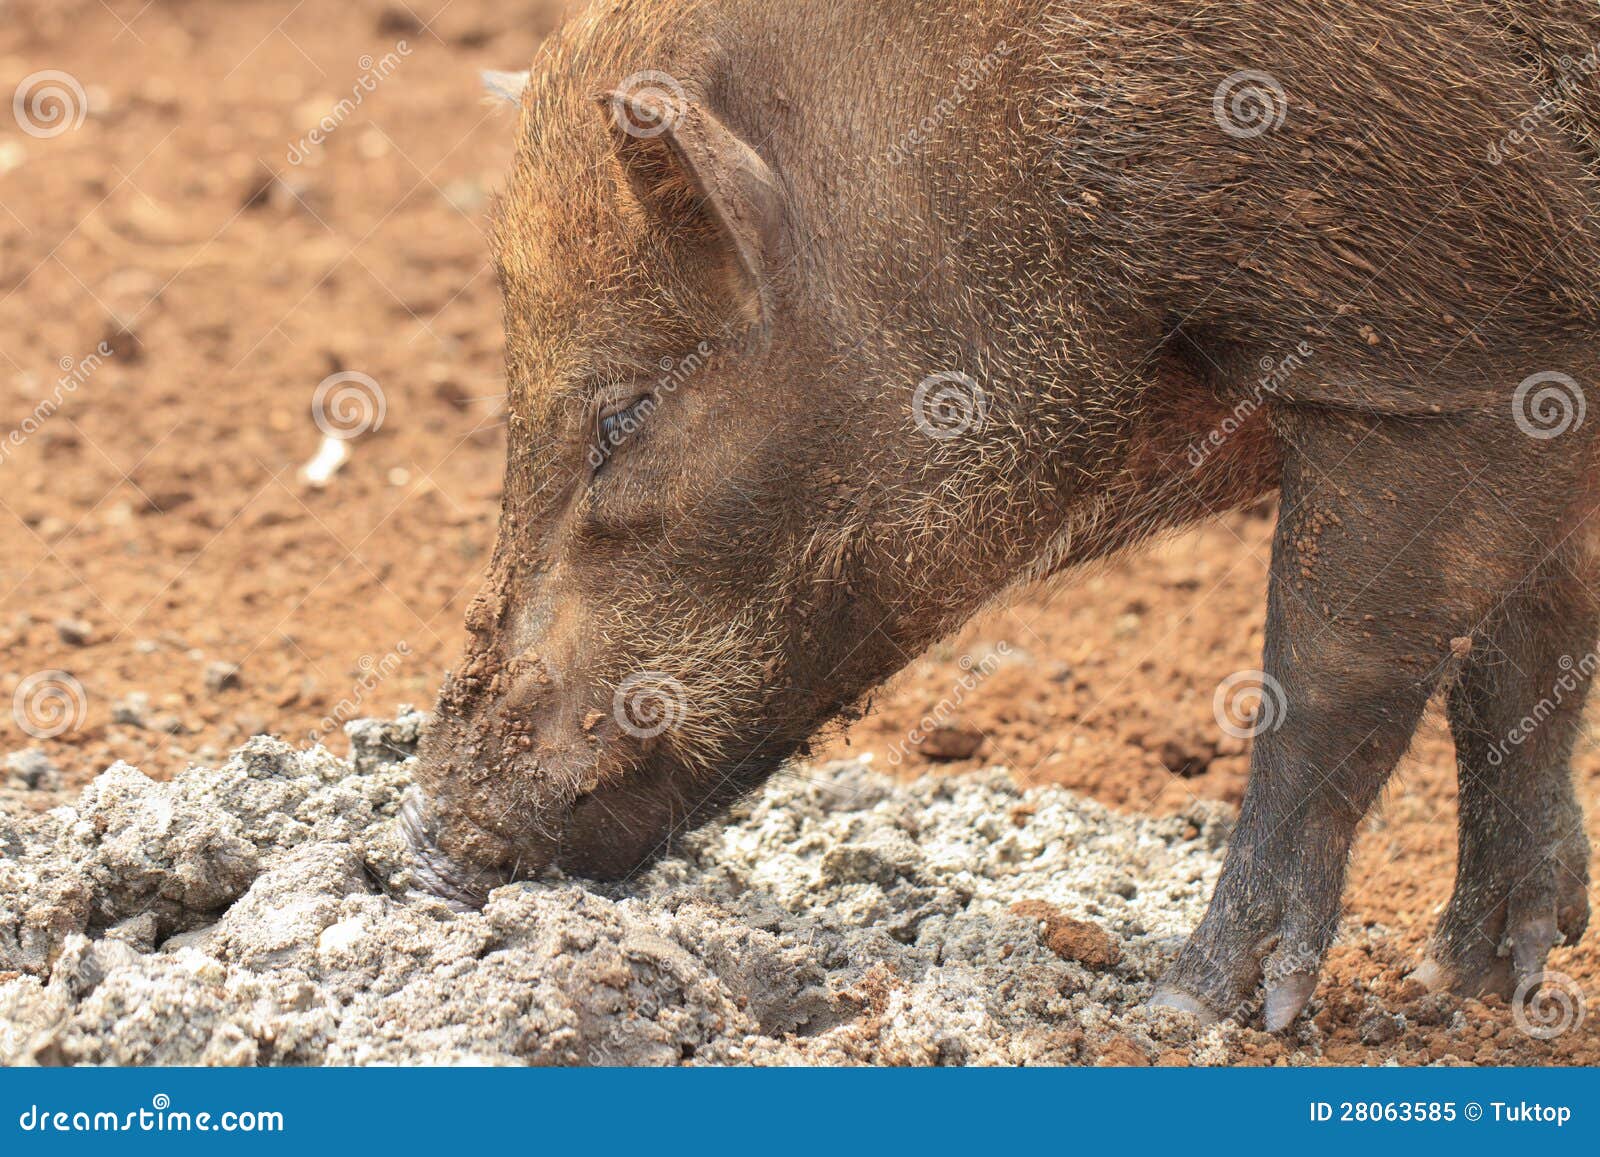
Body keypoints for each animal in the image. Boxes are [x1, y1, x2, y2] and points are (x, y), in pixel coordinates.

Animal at [405, 0, 1600, 1032]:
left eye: (622, 418)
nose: (425, 839)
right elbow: (1518, 669)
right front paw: (1477, 983)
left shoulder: (1451, 369)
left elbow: (1329, 676)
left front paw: (1196, 1008)